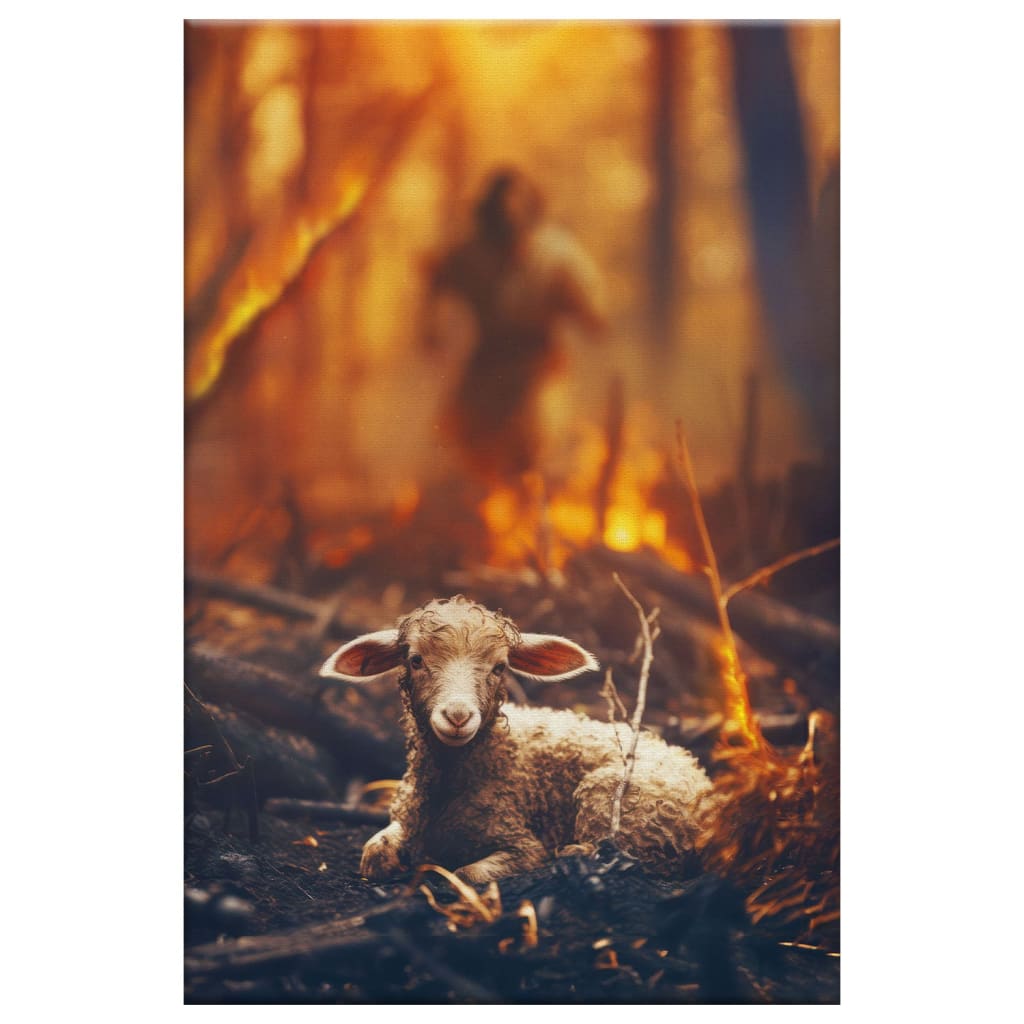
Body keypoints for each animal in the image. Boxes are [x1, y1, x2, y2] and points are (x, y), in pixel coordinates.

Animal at [320, 595, 714, 884]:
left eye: (499, 667)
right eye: (415, 661)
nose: (458, 716)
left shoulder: (520, 842)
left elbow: (469, 874)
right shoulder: (406, 815)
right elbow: (373, 855)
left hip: (610, 798)